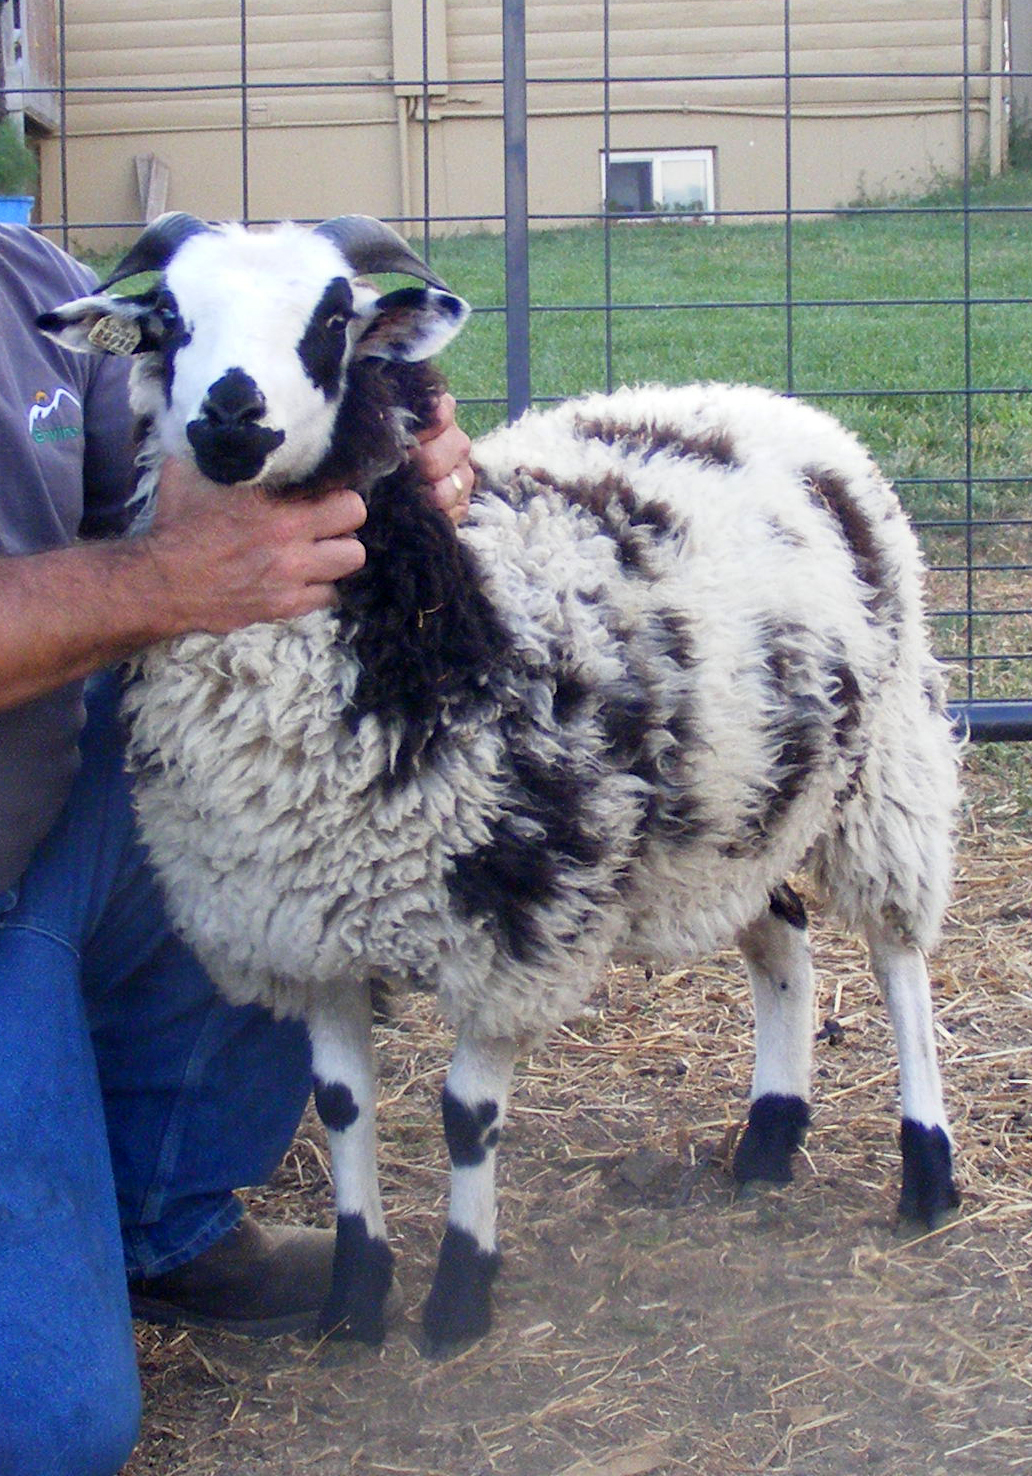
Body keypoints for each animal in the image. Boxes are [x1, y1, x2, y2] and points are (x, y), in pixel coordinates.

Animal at [39, 211, 961, 1354]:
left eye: (334, 318)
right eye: (167, 314)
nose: (230, 416)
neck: (453, 624)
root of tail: (759, 398)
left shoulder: (519, 927)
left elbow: (465, 1116)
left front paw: (457, 1302)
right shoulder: (303, 925)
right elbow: (341, 1106)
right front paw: (355, 1301)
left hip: (886, 763)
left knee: (897, 955)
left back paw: (927, 1170)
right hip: (736, 800)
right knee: (781, 934)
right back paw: (768, 1141)